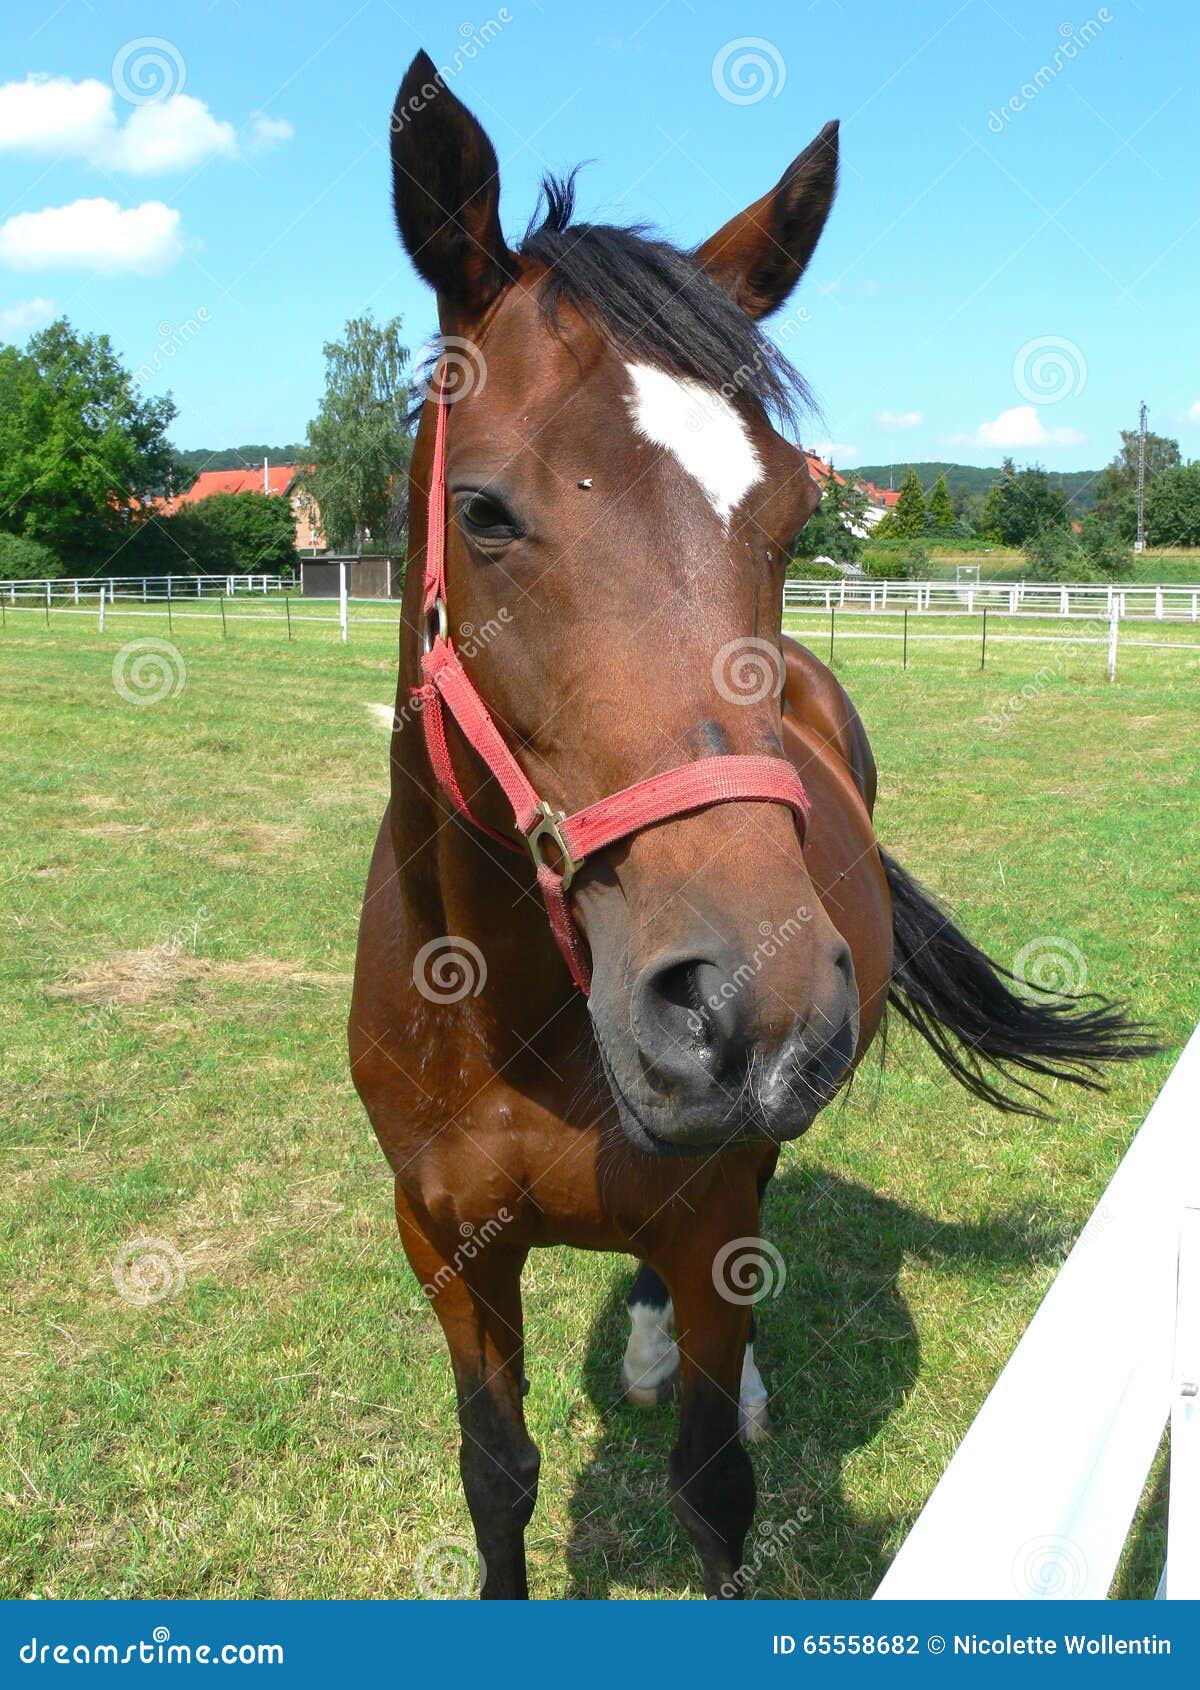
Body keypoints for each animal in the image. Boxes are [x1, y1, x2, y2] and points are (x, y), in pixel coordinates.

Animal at [349, 50, 1146, 1600]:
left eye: (787, 518)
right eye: (483, 511)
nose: (747, 1003)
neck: (507, 1019)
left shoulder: (709, 1208)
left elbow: (715, 1487)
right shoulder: (444, 1244)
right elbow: (498, 1473)